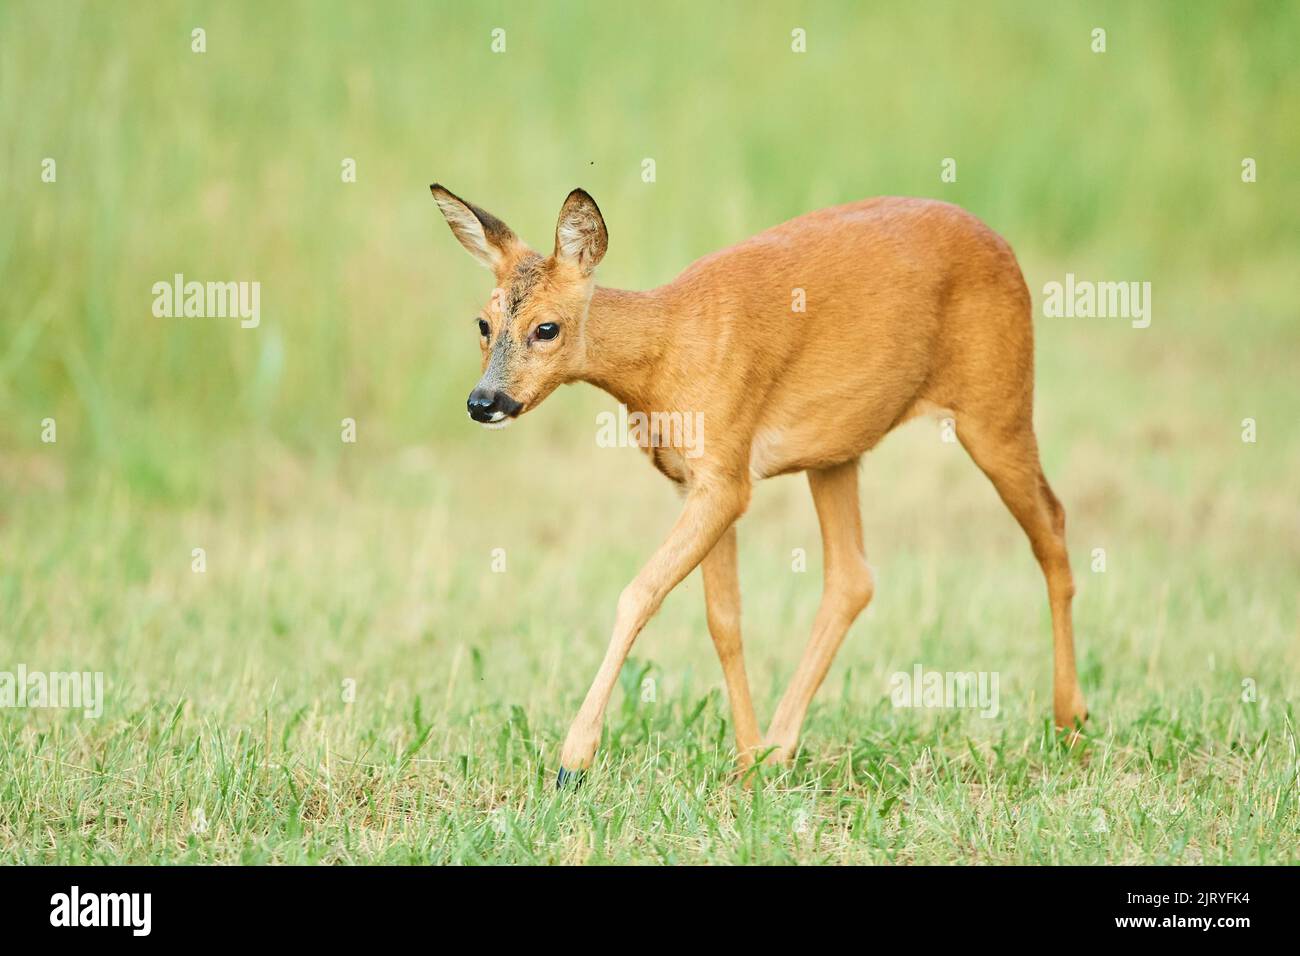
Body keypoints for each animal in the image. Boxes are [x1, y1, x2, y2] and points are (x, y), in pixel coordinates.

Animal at [429, 184, 1089, 787]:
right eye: (483, 322)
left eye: (547, 327)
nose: (484, 401)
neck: (663, 356)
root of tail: (1002, 244)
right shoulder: (696, 481)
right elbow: (724, 620)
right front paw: (745, 762)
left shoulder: (726, 477)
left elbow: (639, 593)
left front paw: (573, 761)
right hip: (838, 450)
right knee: (853, 577)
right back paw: (778, 748)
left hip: (996, 404)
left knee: (1052, 525)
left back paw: (1071, 724)